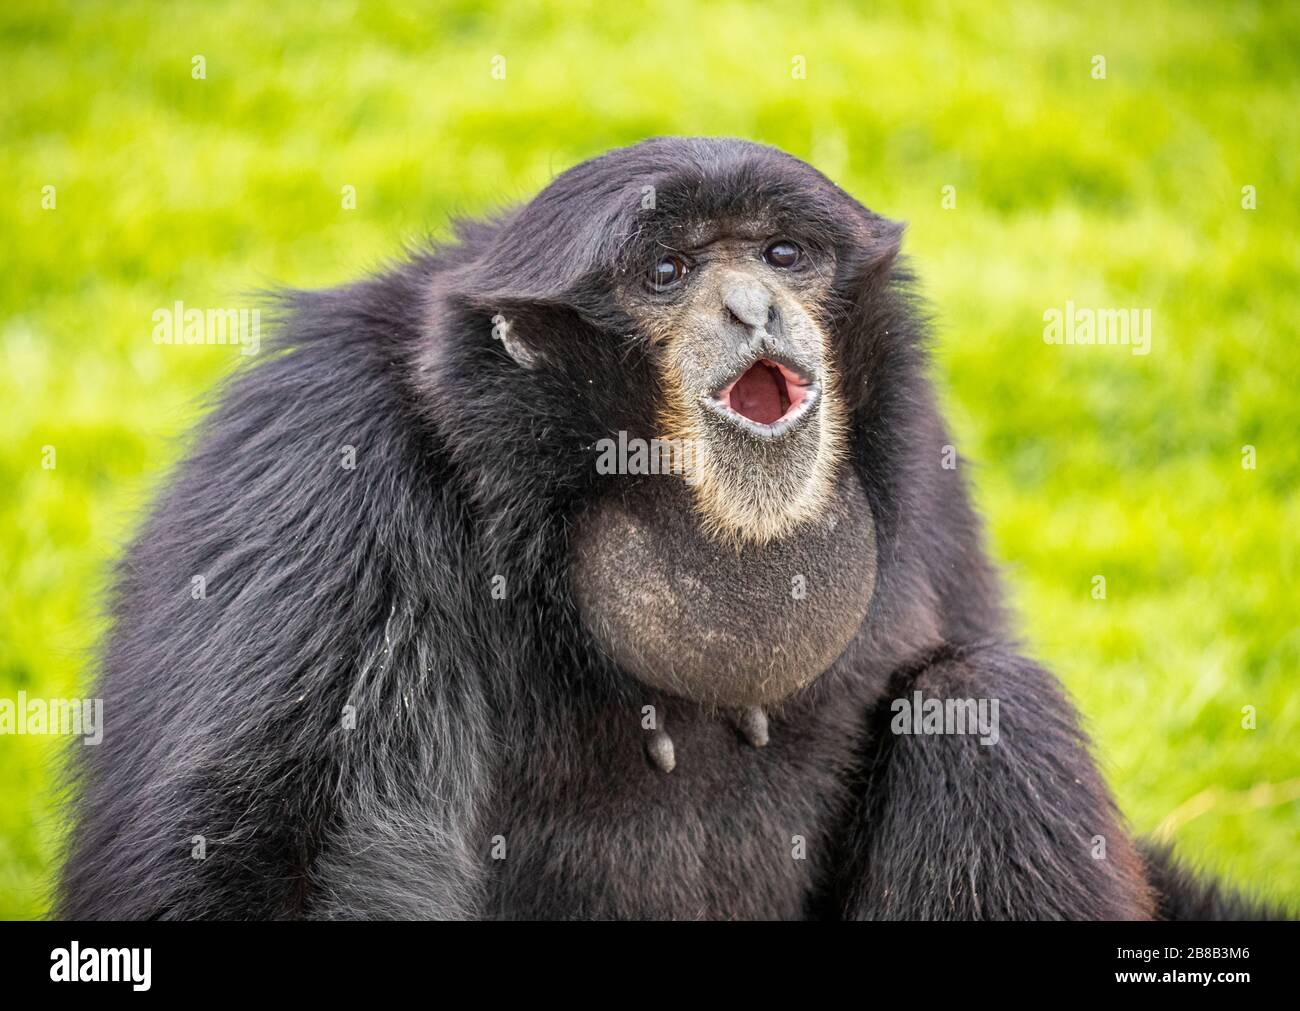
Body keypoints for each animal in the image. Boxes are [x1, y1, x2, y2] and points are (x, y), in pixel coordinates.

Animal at [57, 136, 1282, 920]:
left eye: (782, 257)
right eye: (666, 270)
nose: (751, 308)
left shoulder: (920, 455)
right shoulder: (319, 458)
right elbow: (271, 863)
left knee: (977, 705)